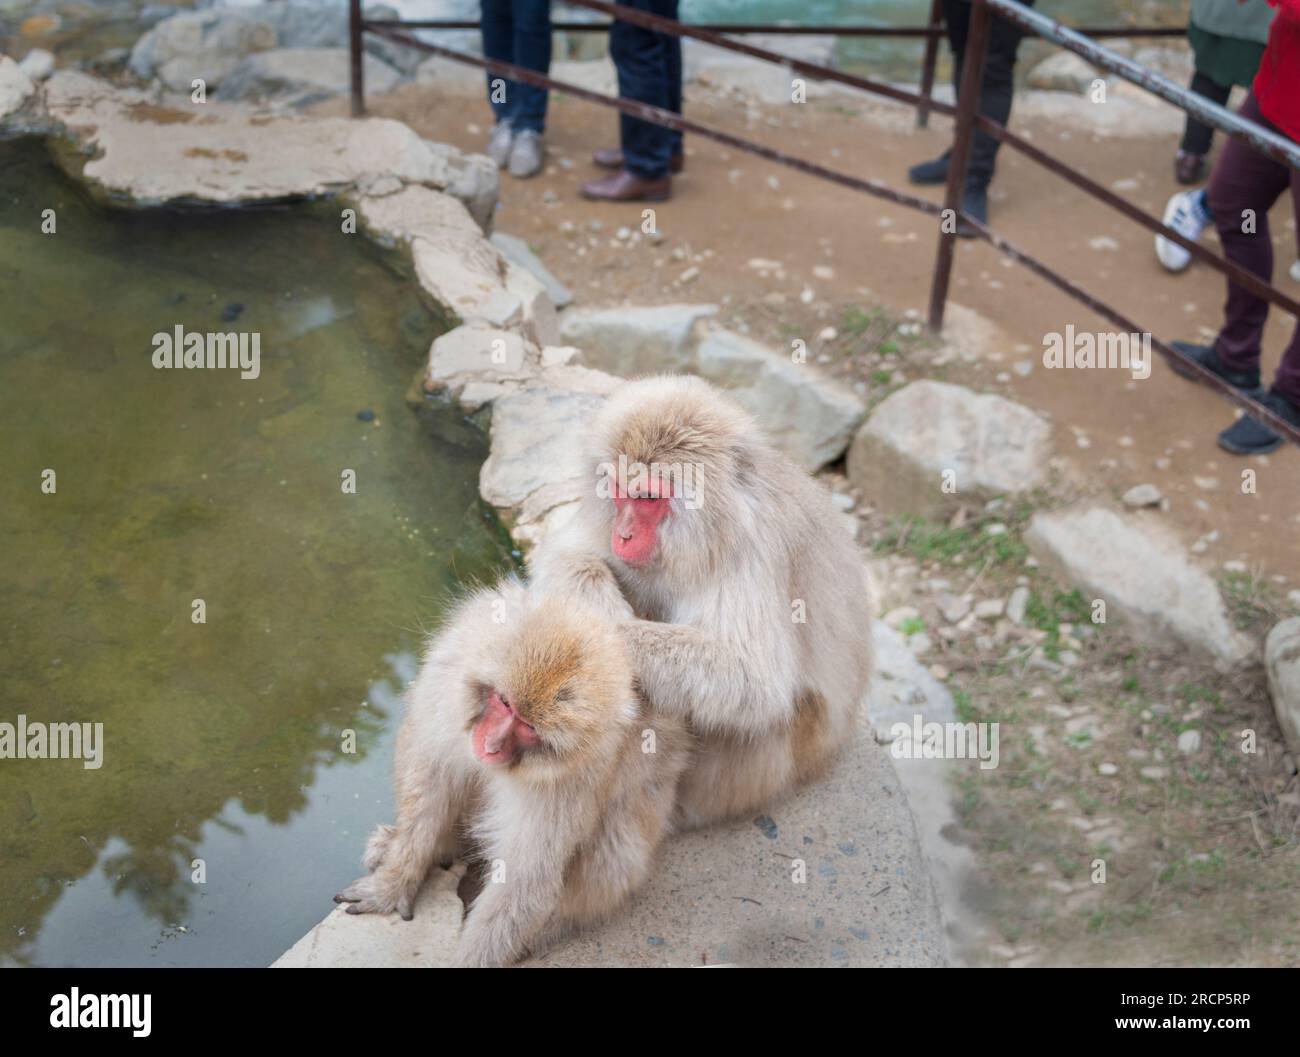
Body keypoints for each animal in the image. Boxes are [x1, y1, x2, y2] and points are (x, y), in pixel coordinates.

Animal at [335, 577, 691, 968]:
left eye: (528, 728)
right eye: (505, 703)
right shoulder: (448, 674)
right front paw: (393, 882)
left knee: (618, 843)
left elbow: (526, 875)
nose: (490, 745)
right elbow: (429, 778)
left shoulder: (575, 776)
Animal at [528, 374, 874, 829]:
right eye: (618, 489)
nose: (622, 535)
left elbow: (751, 678)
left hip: (771, 765)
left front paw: (602, 635)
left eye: (648, 498)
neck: (710, 531)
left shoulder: (754, 550)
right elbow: (566, 553)